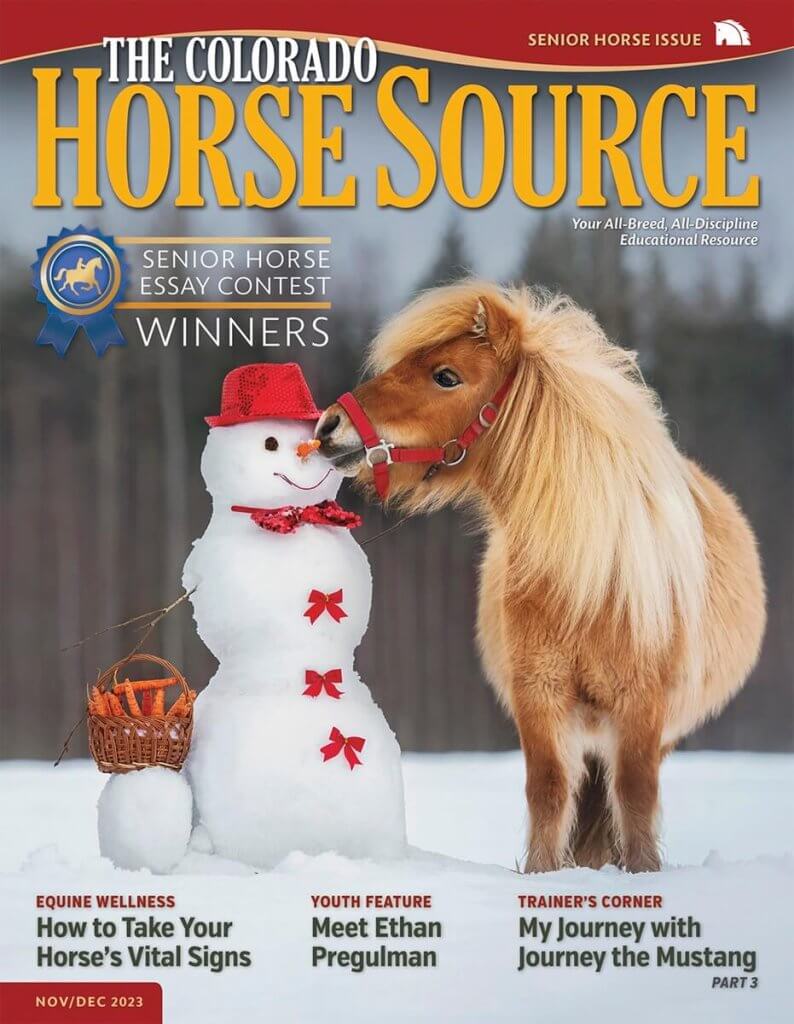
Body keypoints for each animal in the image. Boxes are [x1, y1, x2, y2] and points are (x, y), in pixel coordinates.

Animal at [315, 281, 766, 873]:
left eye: (445, 375)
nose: (328, 426)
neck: (592, 577)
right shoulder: (540, 693)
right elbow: (549, 789)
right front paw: (543, 874)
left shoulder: (642, 705)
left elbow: (636, 795)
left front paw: (642, 872)